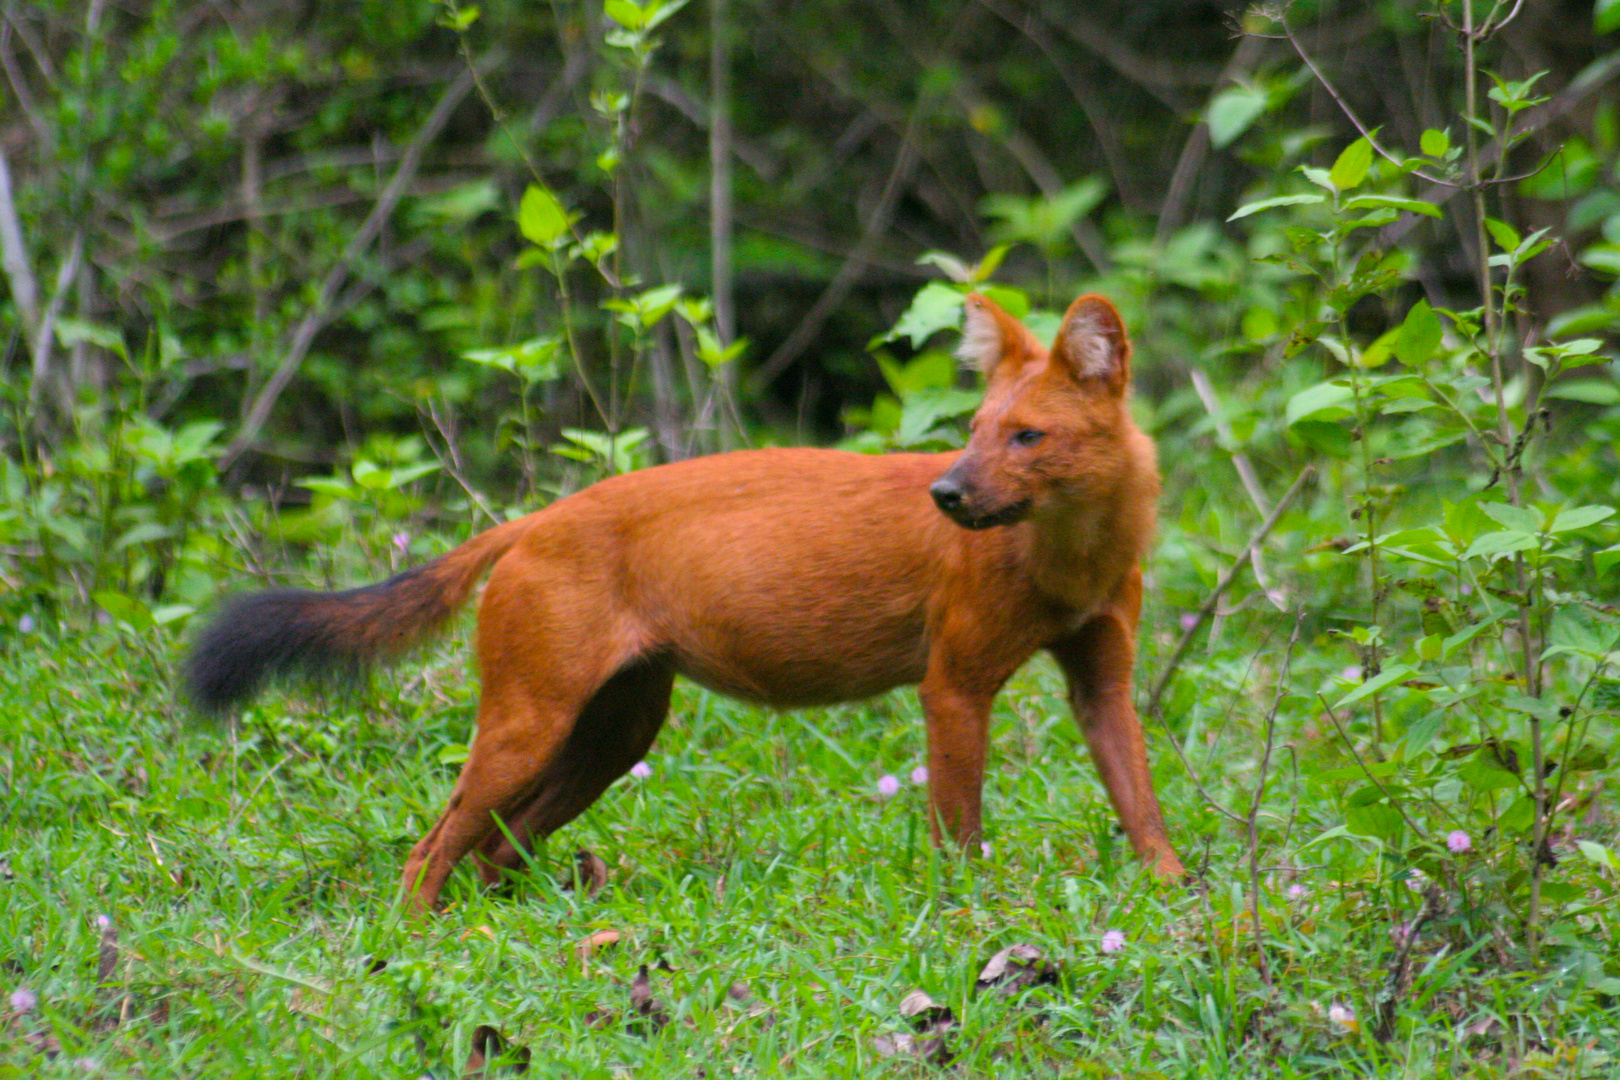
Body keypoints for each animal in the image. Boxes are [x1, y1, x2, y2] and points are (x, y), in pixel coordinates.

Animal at [189, 293, 1185, 913]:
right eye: (973, 433)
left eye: (1027, 437)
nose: (945, 493)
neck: (1075, 559)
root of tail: (531, 521)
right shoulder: (954, 684)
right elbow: (959, 832)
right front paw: (966, 913)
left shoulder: (1101, 677)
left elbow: (1143, 808)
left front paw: (1179, 900)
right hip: (528, 724)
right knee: (430, 849)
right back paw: (418, 942)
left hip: (616, 731)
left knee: (495, 851)